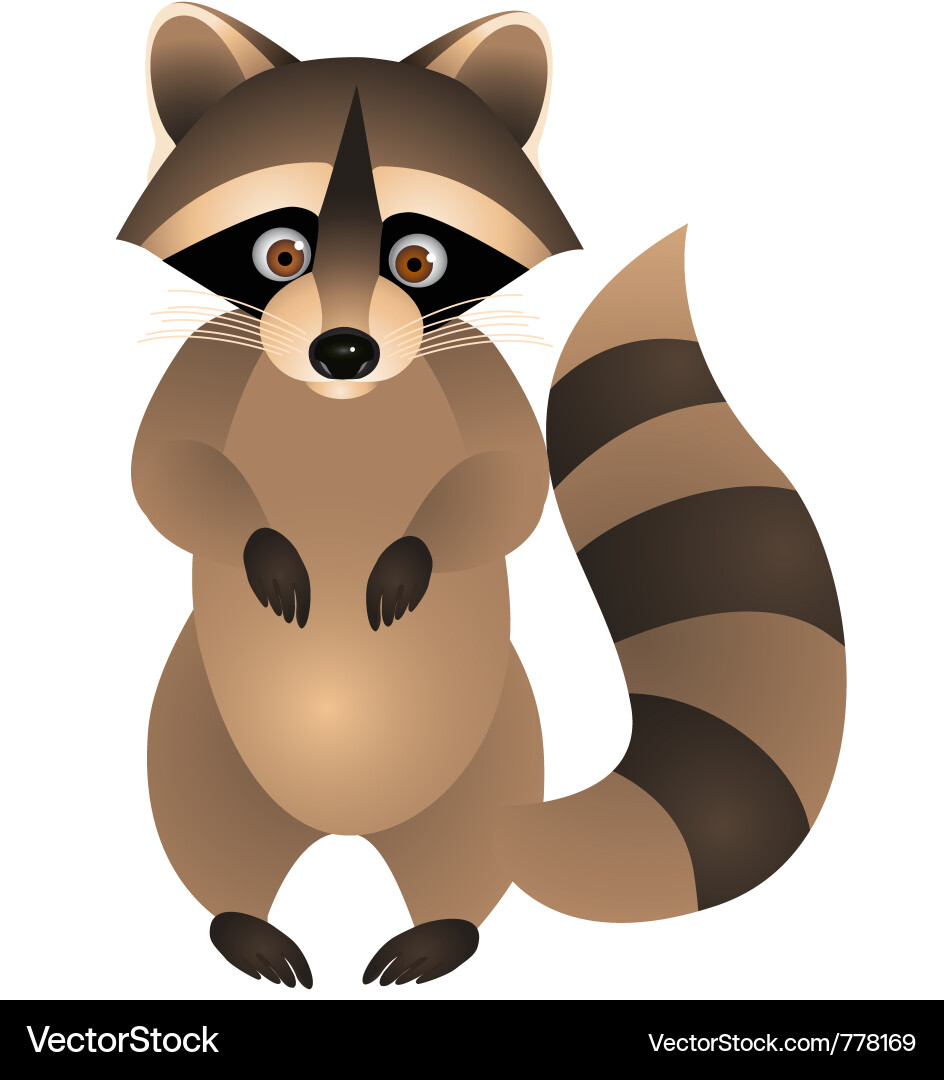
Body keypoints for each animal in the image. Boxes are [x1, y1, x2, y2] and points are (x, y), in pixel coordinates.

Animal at [120, 5, 845, 988]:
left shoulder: (470, 372)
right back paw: (245, 919)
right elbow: (165, 473)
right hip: (197, 728)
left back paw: (441, 927)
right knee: (203, 822)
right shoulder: (212, 362)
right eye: (282, 251)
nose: (343, 351)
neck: (344, 410)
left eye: (417, 259)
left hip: (497, 747)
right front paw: (259, 541)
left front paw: (412, 554)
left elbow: (505, 487)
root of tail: (344, 826)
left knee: (463, 845)